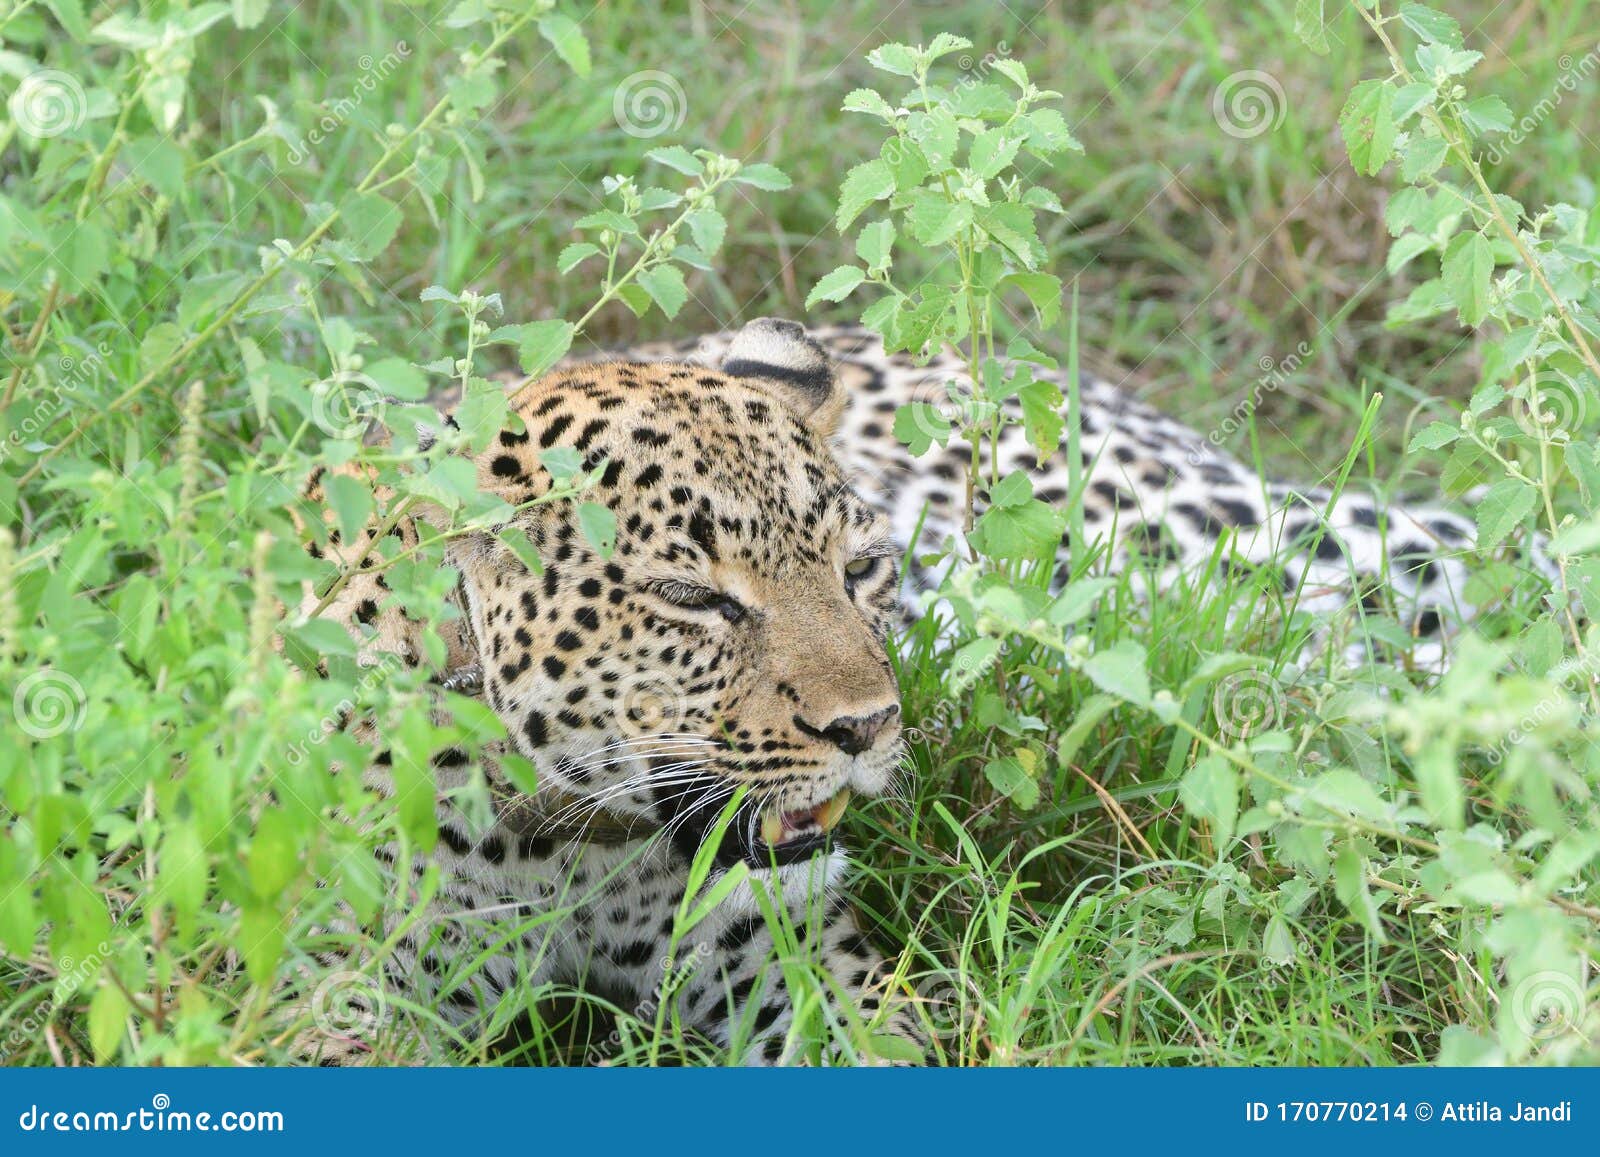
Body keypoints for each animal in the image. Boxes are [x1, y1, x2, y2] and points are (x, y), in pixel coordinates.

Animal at [303, 316, 1505, 1065]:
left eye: (862, 569)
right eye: (693, 598)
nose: (868, 727)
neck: (568, 847)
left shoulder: (782, 959)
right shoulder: (318, 980)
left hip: (1209, 543)